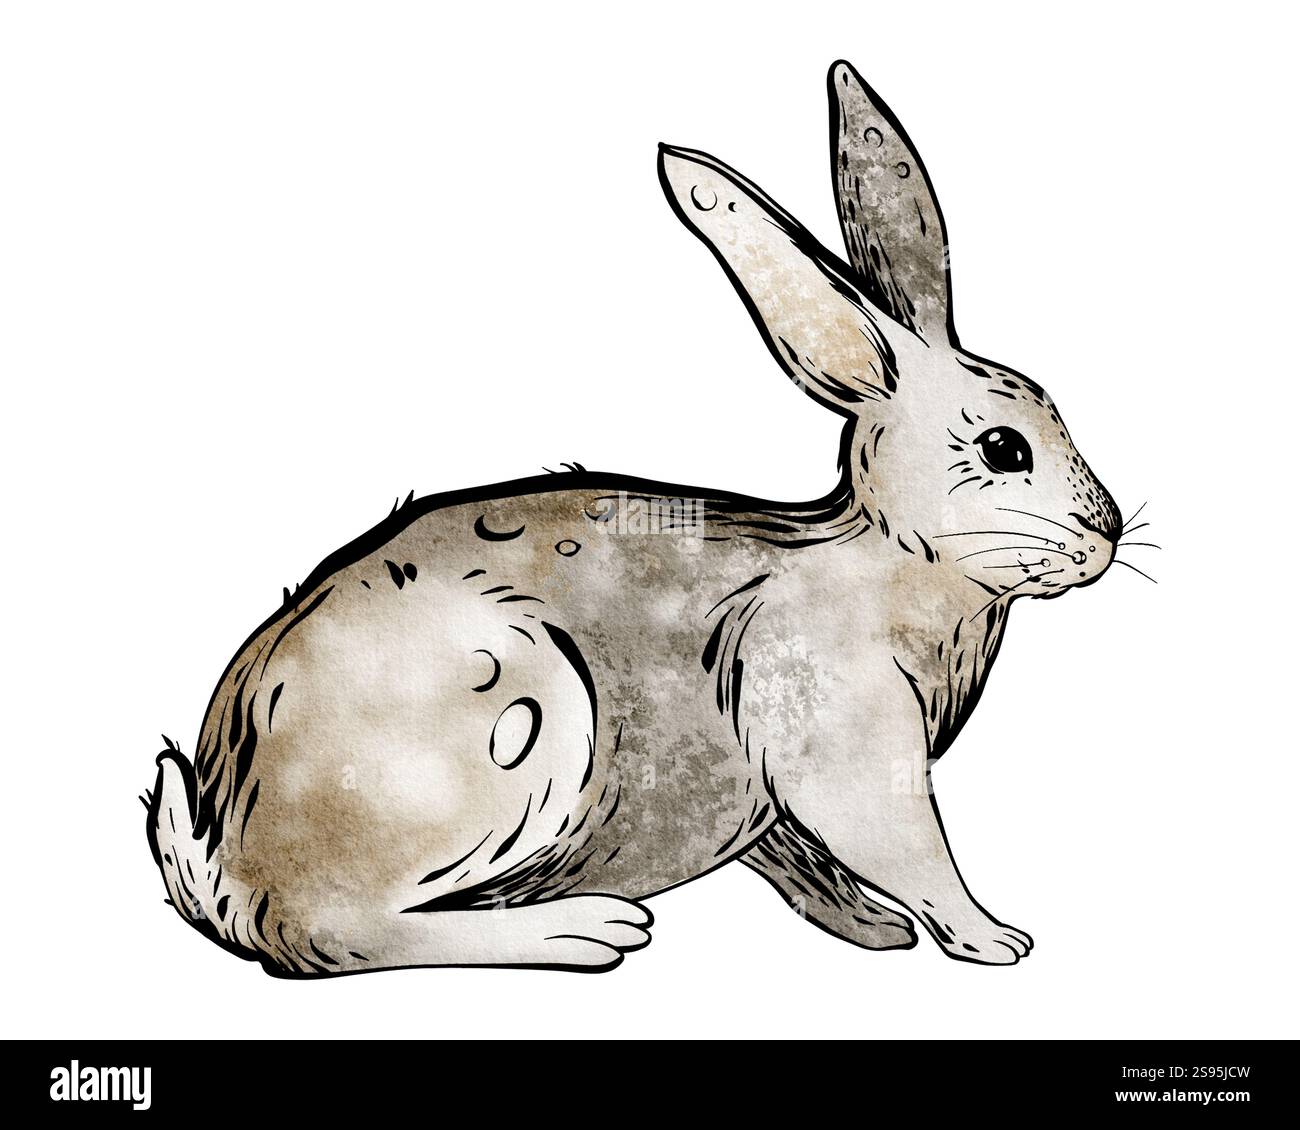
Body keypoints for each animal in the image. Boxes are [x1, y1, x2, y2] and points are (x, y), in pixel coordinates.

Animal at [146, 60, 1121, 976]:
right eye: (1004, 448)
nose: (1107, 536)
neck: (893, 563)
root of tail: (229, 861)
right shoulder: (850, 739)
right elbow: (911, 850)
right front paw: (993, 940)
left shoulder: (773, 805)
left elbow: (801, 858)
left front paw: (872, 930)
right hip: (518, 722)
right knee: (334, 932)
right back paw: (584, 931)